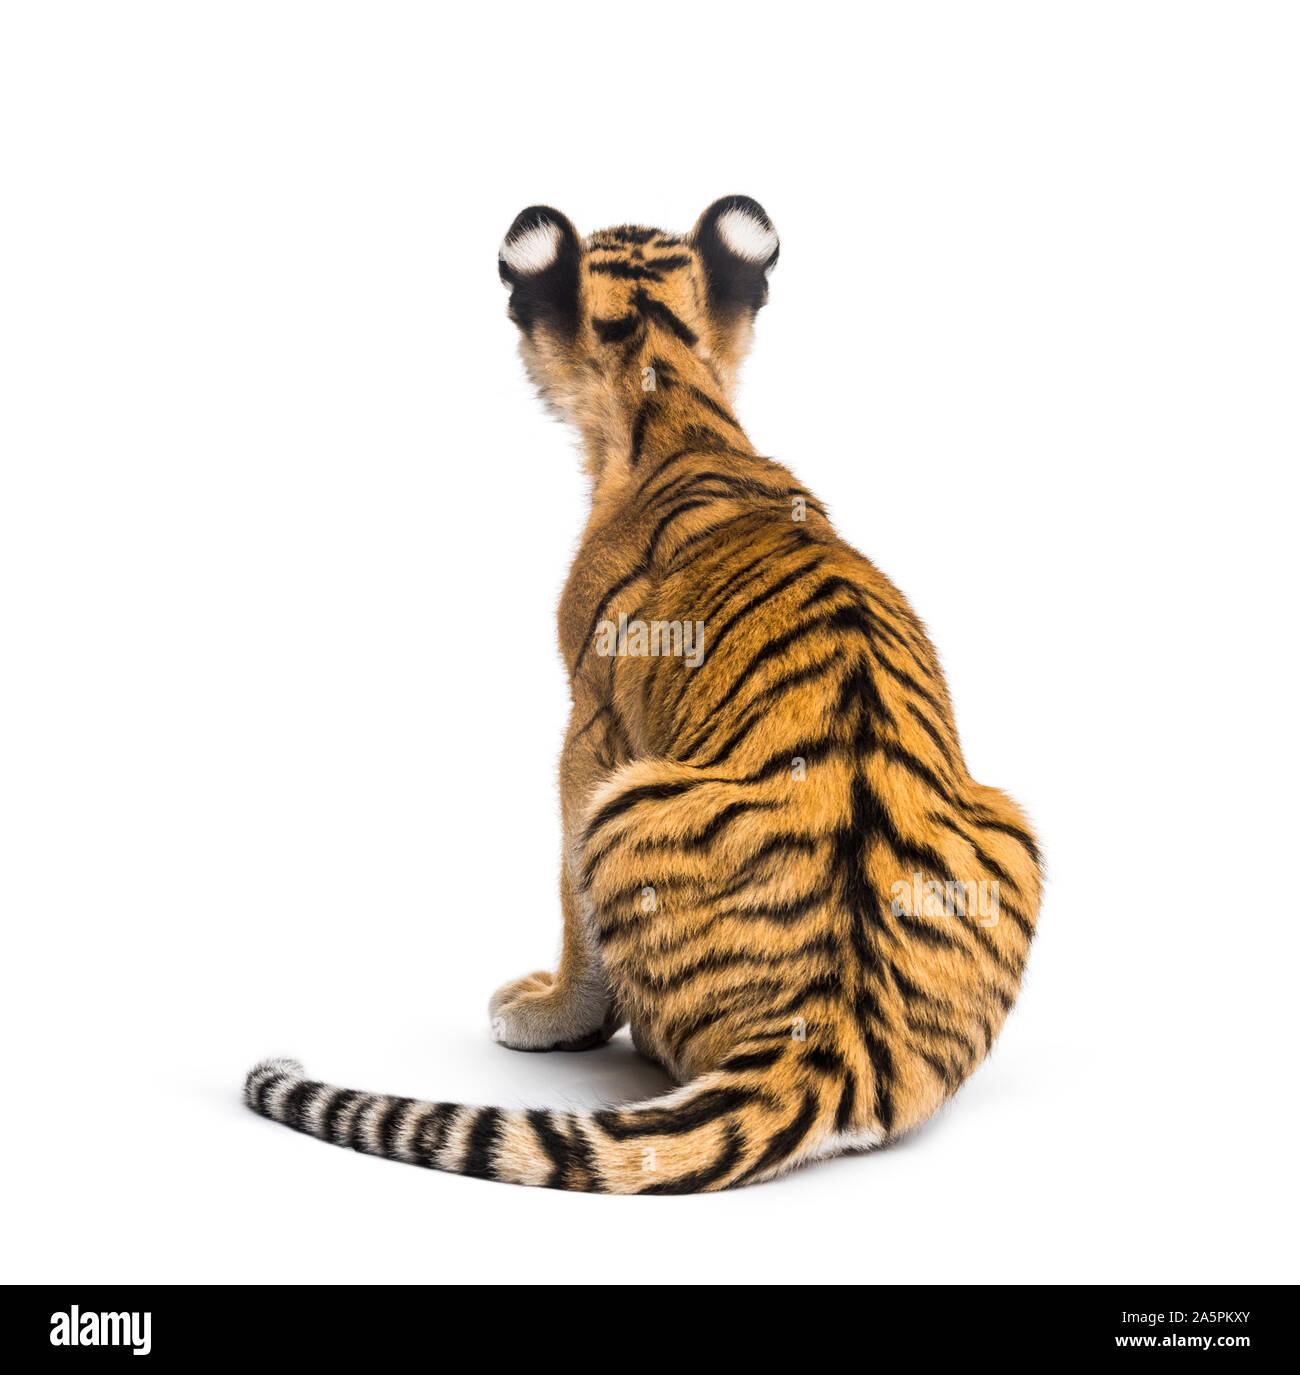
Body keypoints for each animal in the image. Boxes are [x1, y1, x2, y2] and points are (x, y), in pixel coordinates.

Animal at [245, 195, 1042, 1193]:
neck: (678, 403)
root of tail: (836, 1042)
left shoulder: (590, 729)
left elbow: (570, 899)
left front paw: (553, 1012)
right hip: (1013, 827)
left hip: (630, 801)